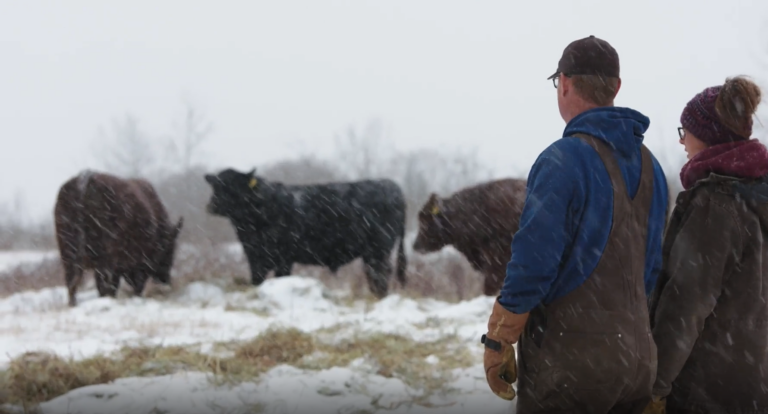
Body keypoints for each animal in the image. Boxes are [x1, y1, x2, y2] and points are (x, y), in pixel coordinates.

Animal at [53, 170, 184, 307]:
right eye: (170, 249)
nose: (165, 280)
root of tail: (84, 181)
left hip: (68, 254)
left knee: (72, 285)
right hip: (106, 259)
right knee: (104, 285)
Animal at [203, 168, 407, 298]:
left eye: (234, 186)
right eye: (216, 186)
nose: (212, 205)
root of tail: (392, 185)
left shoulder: (283, 257)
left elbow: (280, 278)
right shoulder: (254, 255)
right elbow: (256, 280)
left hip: (379, 249)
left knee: (381, 273)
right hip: (372, 252)